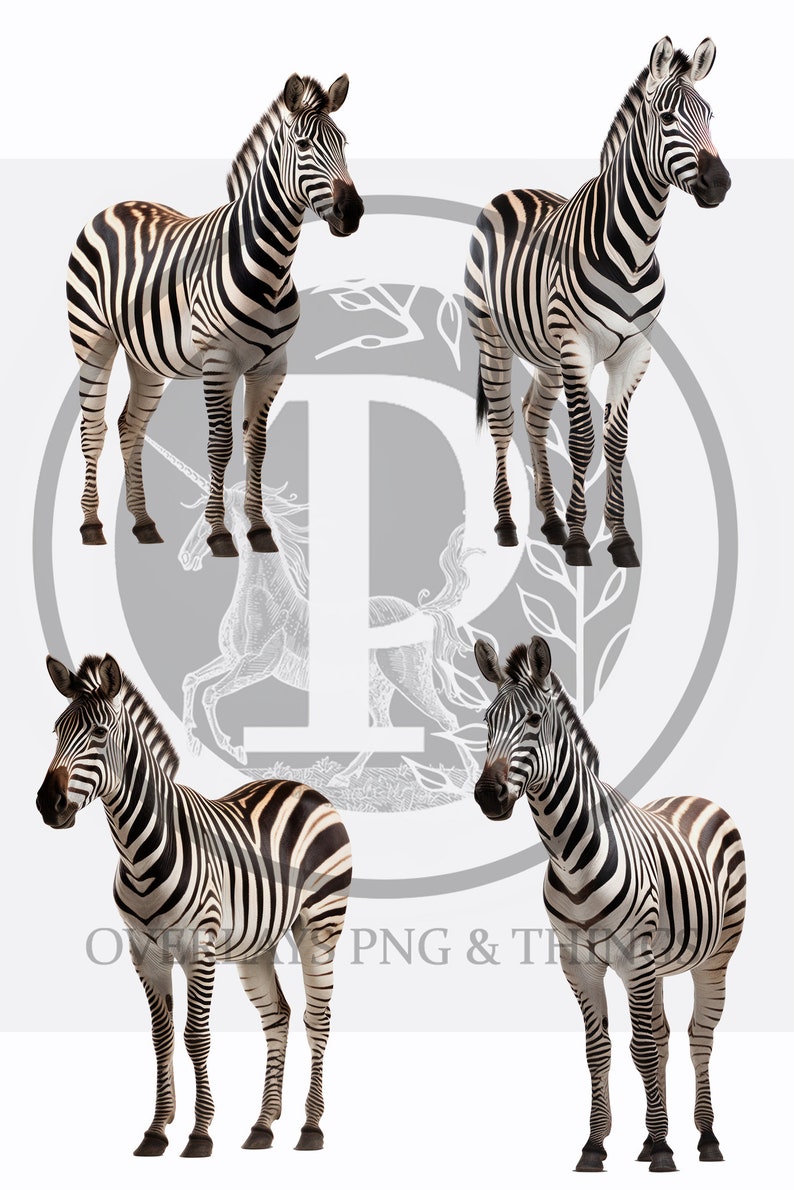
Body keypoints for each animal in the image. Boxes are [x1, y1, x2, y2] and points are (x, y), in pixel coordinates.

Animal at [36, 652, 352, 1157]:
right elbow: (161, 1038)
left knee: (317, 1018)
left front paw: (200, 1134)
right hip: (256, 945)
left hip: (320, 927)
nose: (48, 804)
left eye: (100, 733)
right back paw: (263, 1125)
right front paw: (156, 1130)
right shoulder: (144, 953)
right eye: (56, 730)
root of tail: (306, 788)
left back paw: (311, 1128)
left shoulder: (197, 949)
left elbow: (196, 1038)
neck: (139, 849)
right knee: (277, 1016)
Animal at [67, 73, 363, 557]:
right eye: (302, 145)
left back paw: (144, 523)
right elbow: (220, 445)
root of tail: (115, 206)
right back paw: (92, 526)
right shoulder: (218, 362)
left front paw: (259, 530)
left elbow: (256, 444)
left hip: (145, 357)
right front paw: (220, 534)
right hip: (93, 340)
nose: (351, 212)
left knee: (131, 425)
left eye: (344, 143)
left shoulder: (272, 366)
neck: (273, 264)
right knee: (94, 427)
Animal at [464, 38, 730, 568]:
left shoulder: (635, 352)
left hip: (546, 352)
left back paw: (549, 521)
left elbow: (616, 441)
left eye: (710, 114)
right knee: (503, 421)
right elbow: (584, 439)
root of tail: (511, 189)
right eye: (667, 117)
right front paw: (580, 542)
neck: (634, 248)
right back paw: (507, 525)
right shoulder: (578, 347)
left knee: (533, 414)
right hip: (492, 336)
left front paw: (620, 538)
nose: (720, 184)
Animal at [473, 636, 745, 1173]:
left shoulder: (634, 957)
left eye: (533, 720)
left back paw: (705, 1139)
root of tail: (695, 796)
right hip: (657, 965)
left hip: (714, 958)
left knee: (698, 1037)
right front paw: (597, 1145)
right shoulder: (579, 963)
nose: (488, 796)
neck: (567, 852)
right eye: (486, 721)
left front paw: (662, 1150)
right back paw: (652, 1137)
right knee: (663, 1035)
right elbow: (599, 1051)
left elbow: (640, 1050)